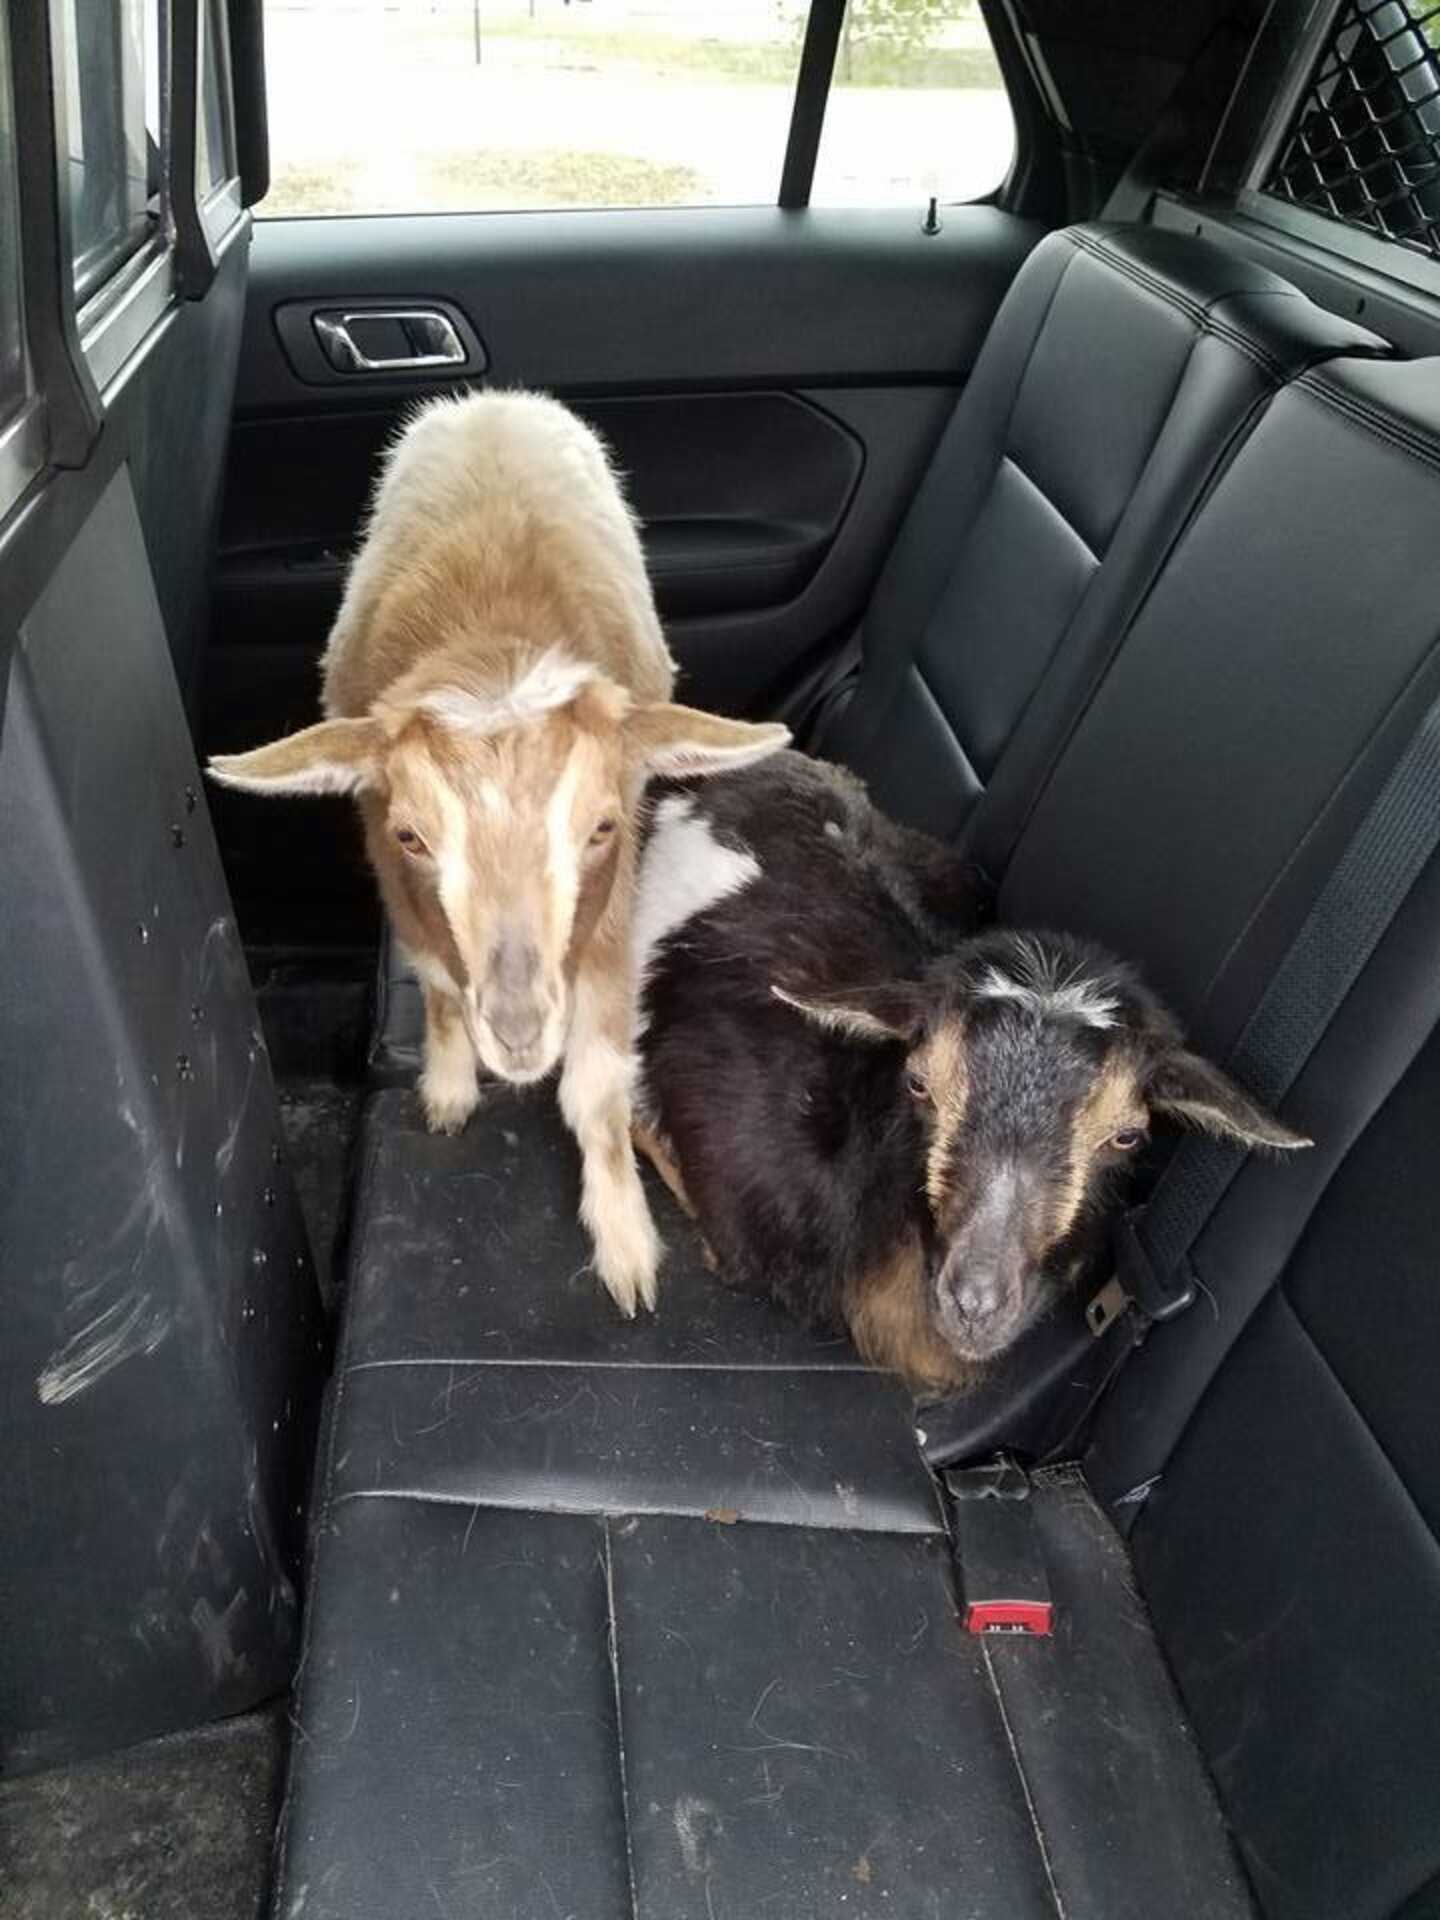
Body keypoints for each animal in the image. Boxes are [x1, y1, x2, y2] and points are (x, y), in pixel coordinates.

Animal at [208, 390, 788, 1314]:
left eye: (600, 828)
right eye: (413, 834)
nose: (517, 1034)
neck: (493, 646)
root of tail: (492, 401)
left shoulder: (610, 909)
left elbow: (597, 1084)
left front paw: (626, 1246)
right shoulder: (396, 879)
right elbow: (441, 985)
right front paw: (448, 1088)